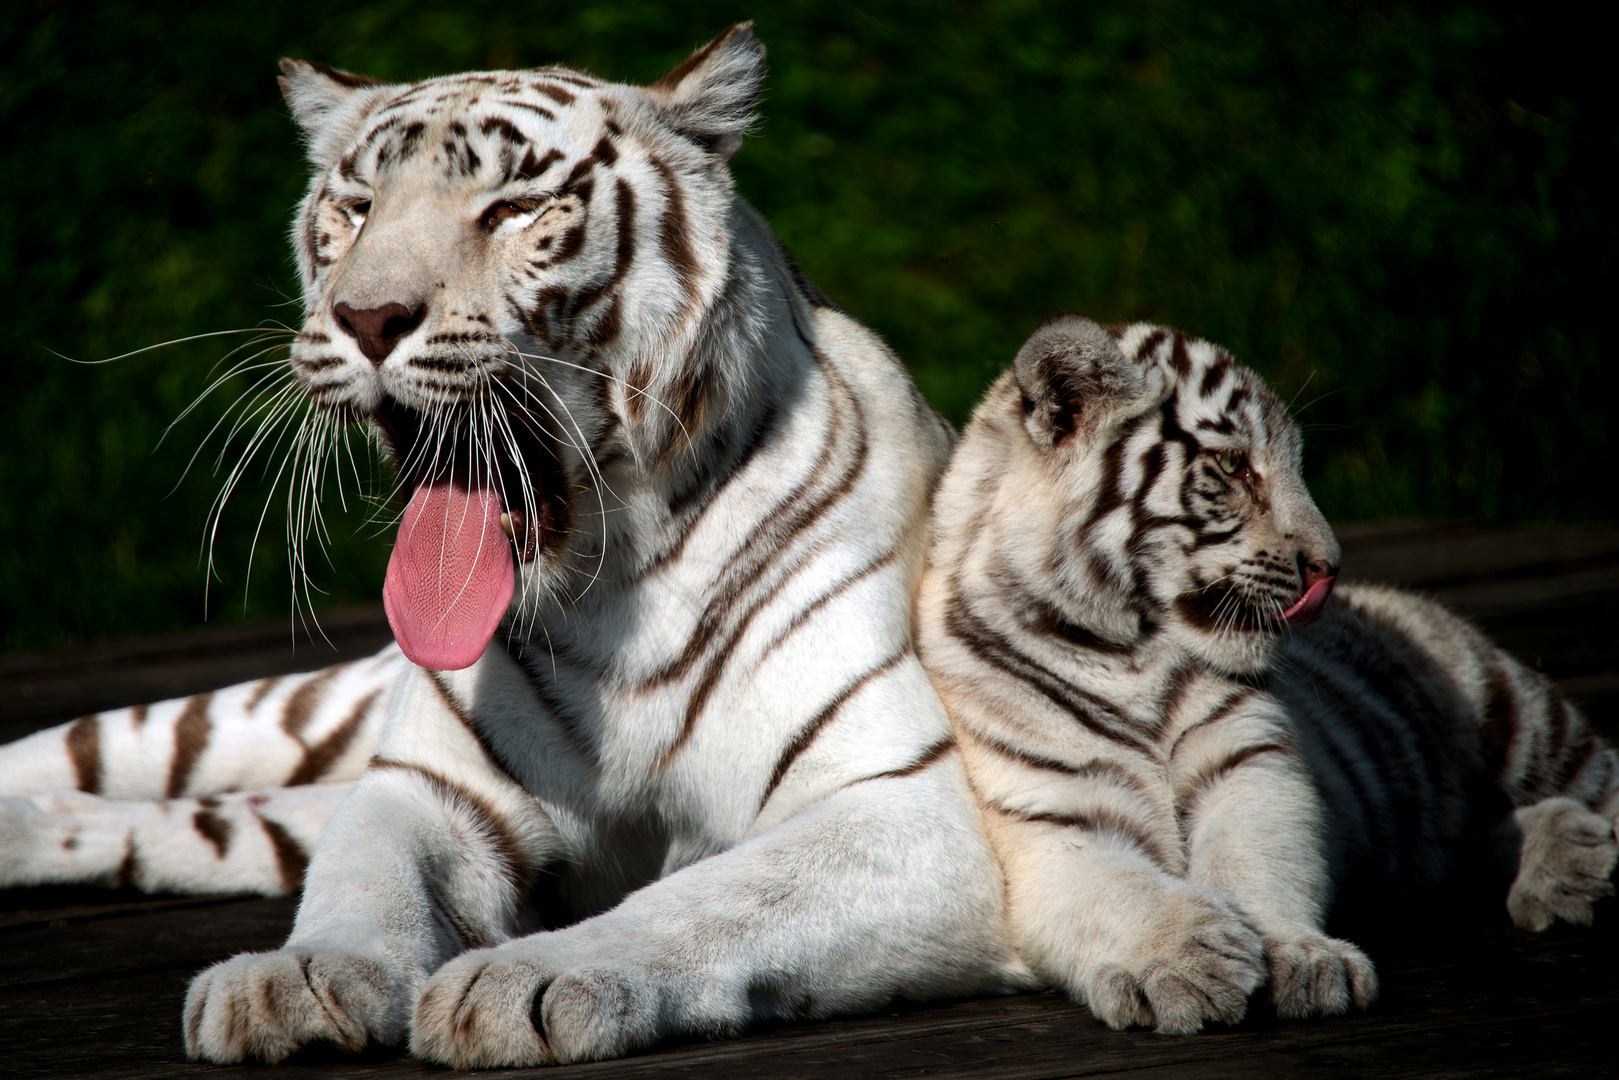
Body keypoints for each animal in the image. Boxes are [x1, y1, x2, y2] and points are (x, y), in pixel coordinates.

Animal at [0, 25, 1036, 1068]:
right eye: (357, 208)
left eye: (514, 209)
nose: (367, 318)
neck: (615, 582)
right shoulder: (428, 789)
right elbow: (364, 880)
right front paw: (293, 975)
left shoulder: (904, 810)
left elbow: (705, 899)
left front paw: (520, 982)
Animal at [916, 313, 1619, 1035]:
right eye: (1233, 464)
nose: (1330, 566)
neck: (1125, 650)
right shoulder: (1054, 818)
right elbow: (1119, 891)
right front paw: (1193, 961)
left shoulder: (1252, 765)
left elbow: (1255, 861)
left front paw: (1300, 958)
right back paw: (1564, 867)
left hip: (1503, 702)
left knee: (1595, 778)